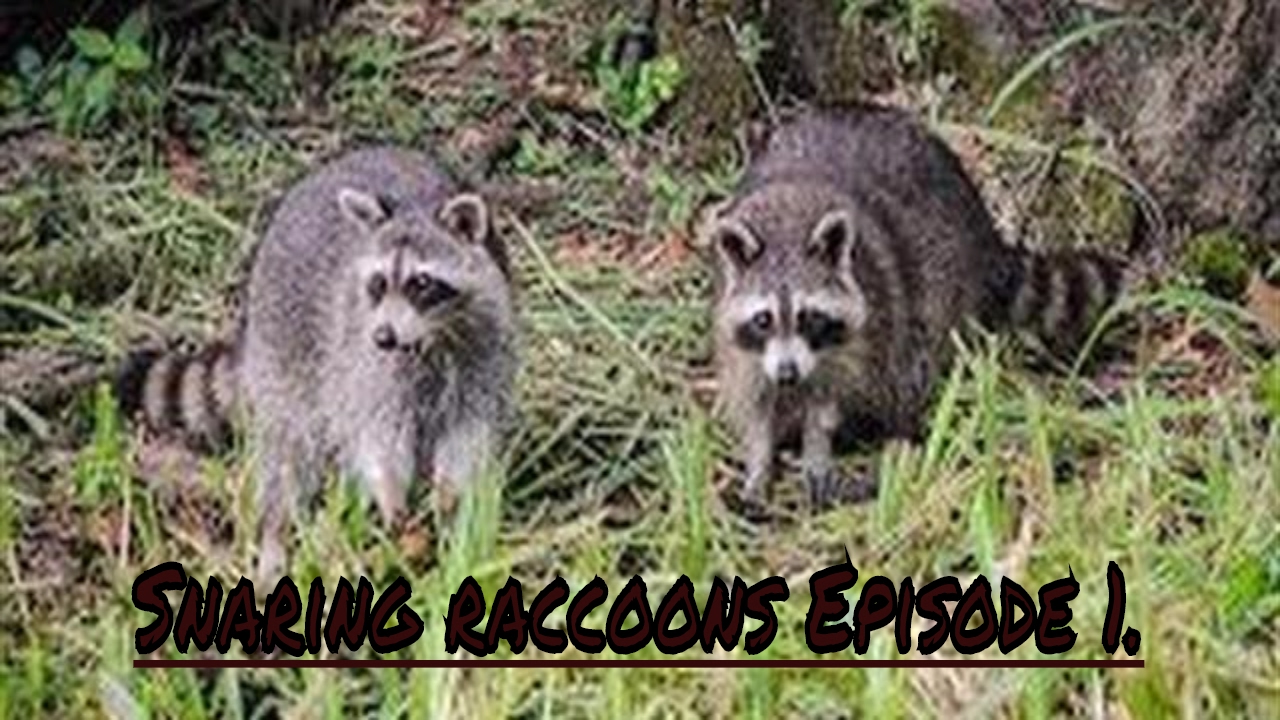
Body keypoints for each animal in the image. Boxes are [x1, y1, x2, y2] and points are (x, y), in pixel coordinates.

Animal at [117, 147, 517, 576]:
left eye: (421, 284)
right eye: (378, 283)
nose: (384, 336)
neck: (431, 337)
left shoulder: (484, 353)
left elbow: (469, 432)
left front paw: (454, 506)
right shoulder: (363, 358)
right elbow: (374, 431)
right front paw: (390, 491)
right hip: (284, 350)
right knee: (288, 453)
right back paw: (274, 537)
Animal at [708, 105, 1125, 507]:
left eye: (809, 317)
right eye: (764, 319)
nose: (788, 374)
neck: (785, 224)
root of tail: (984, 232)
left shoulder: (858, 335)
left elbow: (826, 405)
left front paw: (816, 453)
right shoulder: (739, 346)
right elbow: (753, 406)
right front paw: (759, 464)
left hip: (939, 289)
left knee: (912, 360)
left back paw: (900, 435)